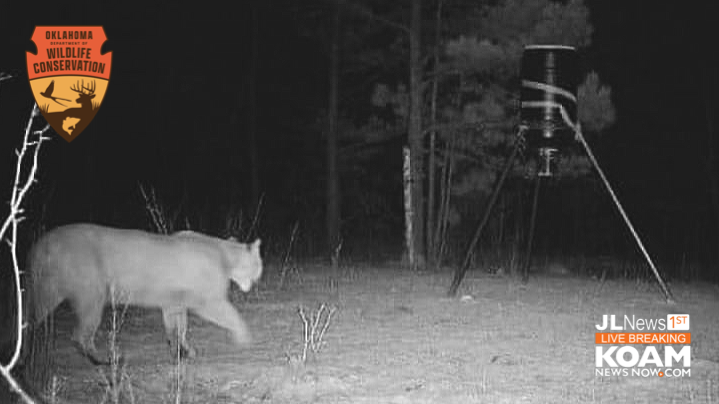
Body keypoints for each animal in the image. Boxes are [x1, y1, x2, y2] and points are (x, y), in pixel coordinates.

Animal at [27, 224, 262, 364]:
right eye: (258, 266)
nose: (253, 284)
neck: (223, 255)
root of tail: (41, 243)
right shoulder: (207, 301)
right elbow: (232, 316)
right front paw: (245, 338)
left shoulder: (173, 303)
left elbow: (178, 329)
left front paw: (182, 352)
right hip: (91, 296)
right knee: (80, 334)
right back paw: (103, 360)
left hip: (49, 292)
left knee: (34, 315)